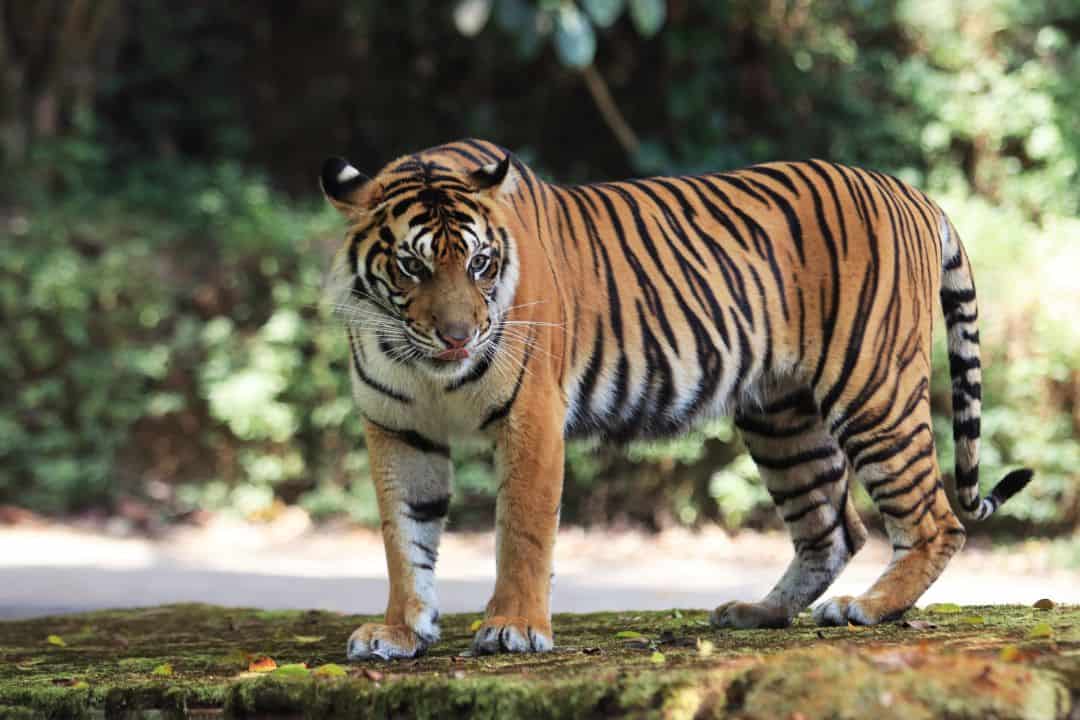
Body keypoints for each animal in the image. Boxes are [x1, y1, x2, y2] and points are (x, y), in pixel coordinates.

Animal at [320, 138, 1033, 660]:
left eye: (480, 264)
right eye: (412, 266)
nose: (459, 336)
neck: (427, 369)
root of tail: (911, 192)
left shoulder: (532, 417)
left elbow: (521, 529)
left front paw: (514, 627)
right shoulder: (397, 428)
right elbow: (404, 536)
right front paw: (399, 631)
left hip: (873, 390)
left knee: (934, 519)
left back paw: (867, 608)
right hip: (781, 417)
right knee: (831, 529)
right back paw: (758, 612)